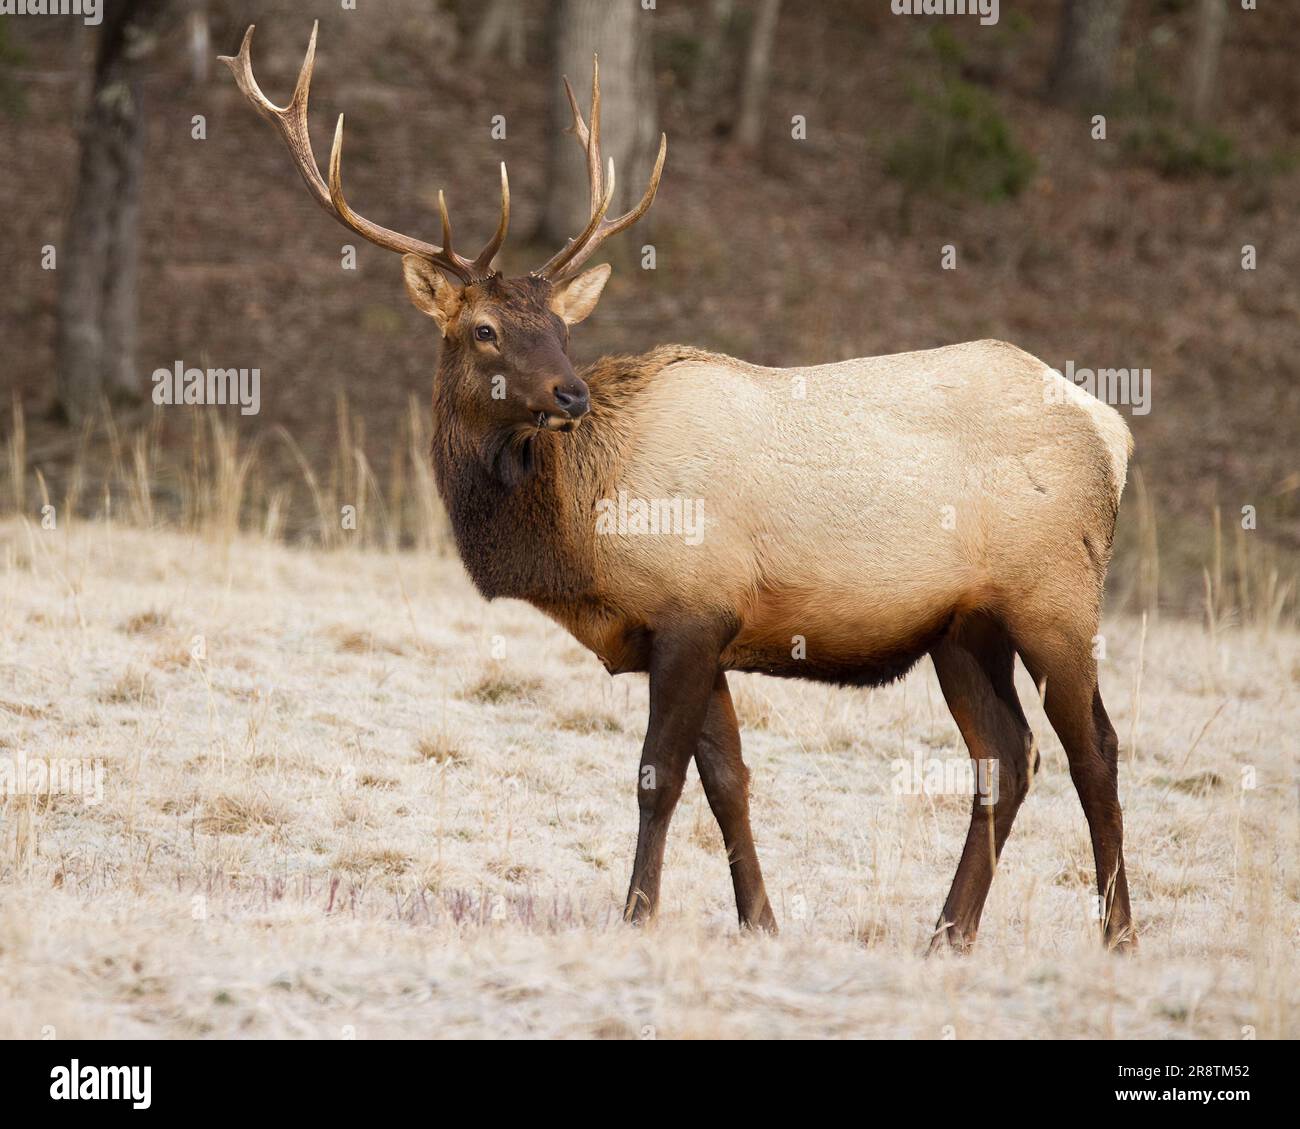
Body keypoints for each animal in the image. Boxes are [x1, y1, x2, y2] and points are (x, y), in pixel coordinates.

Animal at [221, 23, 1136, 952]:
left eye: (561, 328)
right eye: (483, 329)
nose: (571, 395)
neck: (582, 531)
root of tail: (1112, 429)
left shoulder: (693, 611)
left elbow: (658, 777)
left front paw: (638, 912)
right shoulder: (700, 627)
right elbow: (729, 780)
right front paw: (760, 921)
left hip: (1054, 595)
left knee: (1093, 749)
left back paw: (1118, 934)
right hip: (963, 625)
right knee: (1007, 755)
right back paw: (948, 932)